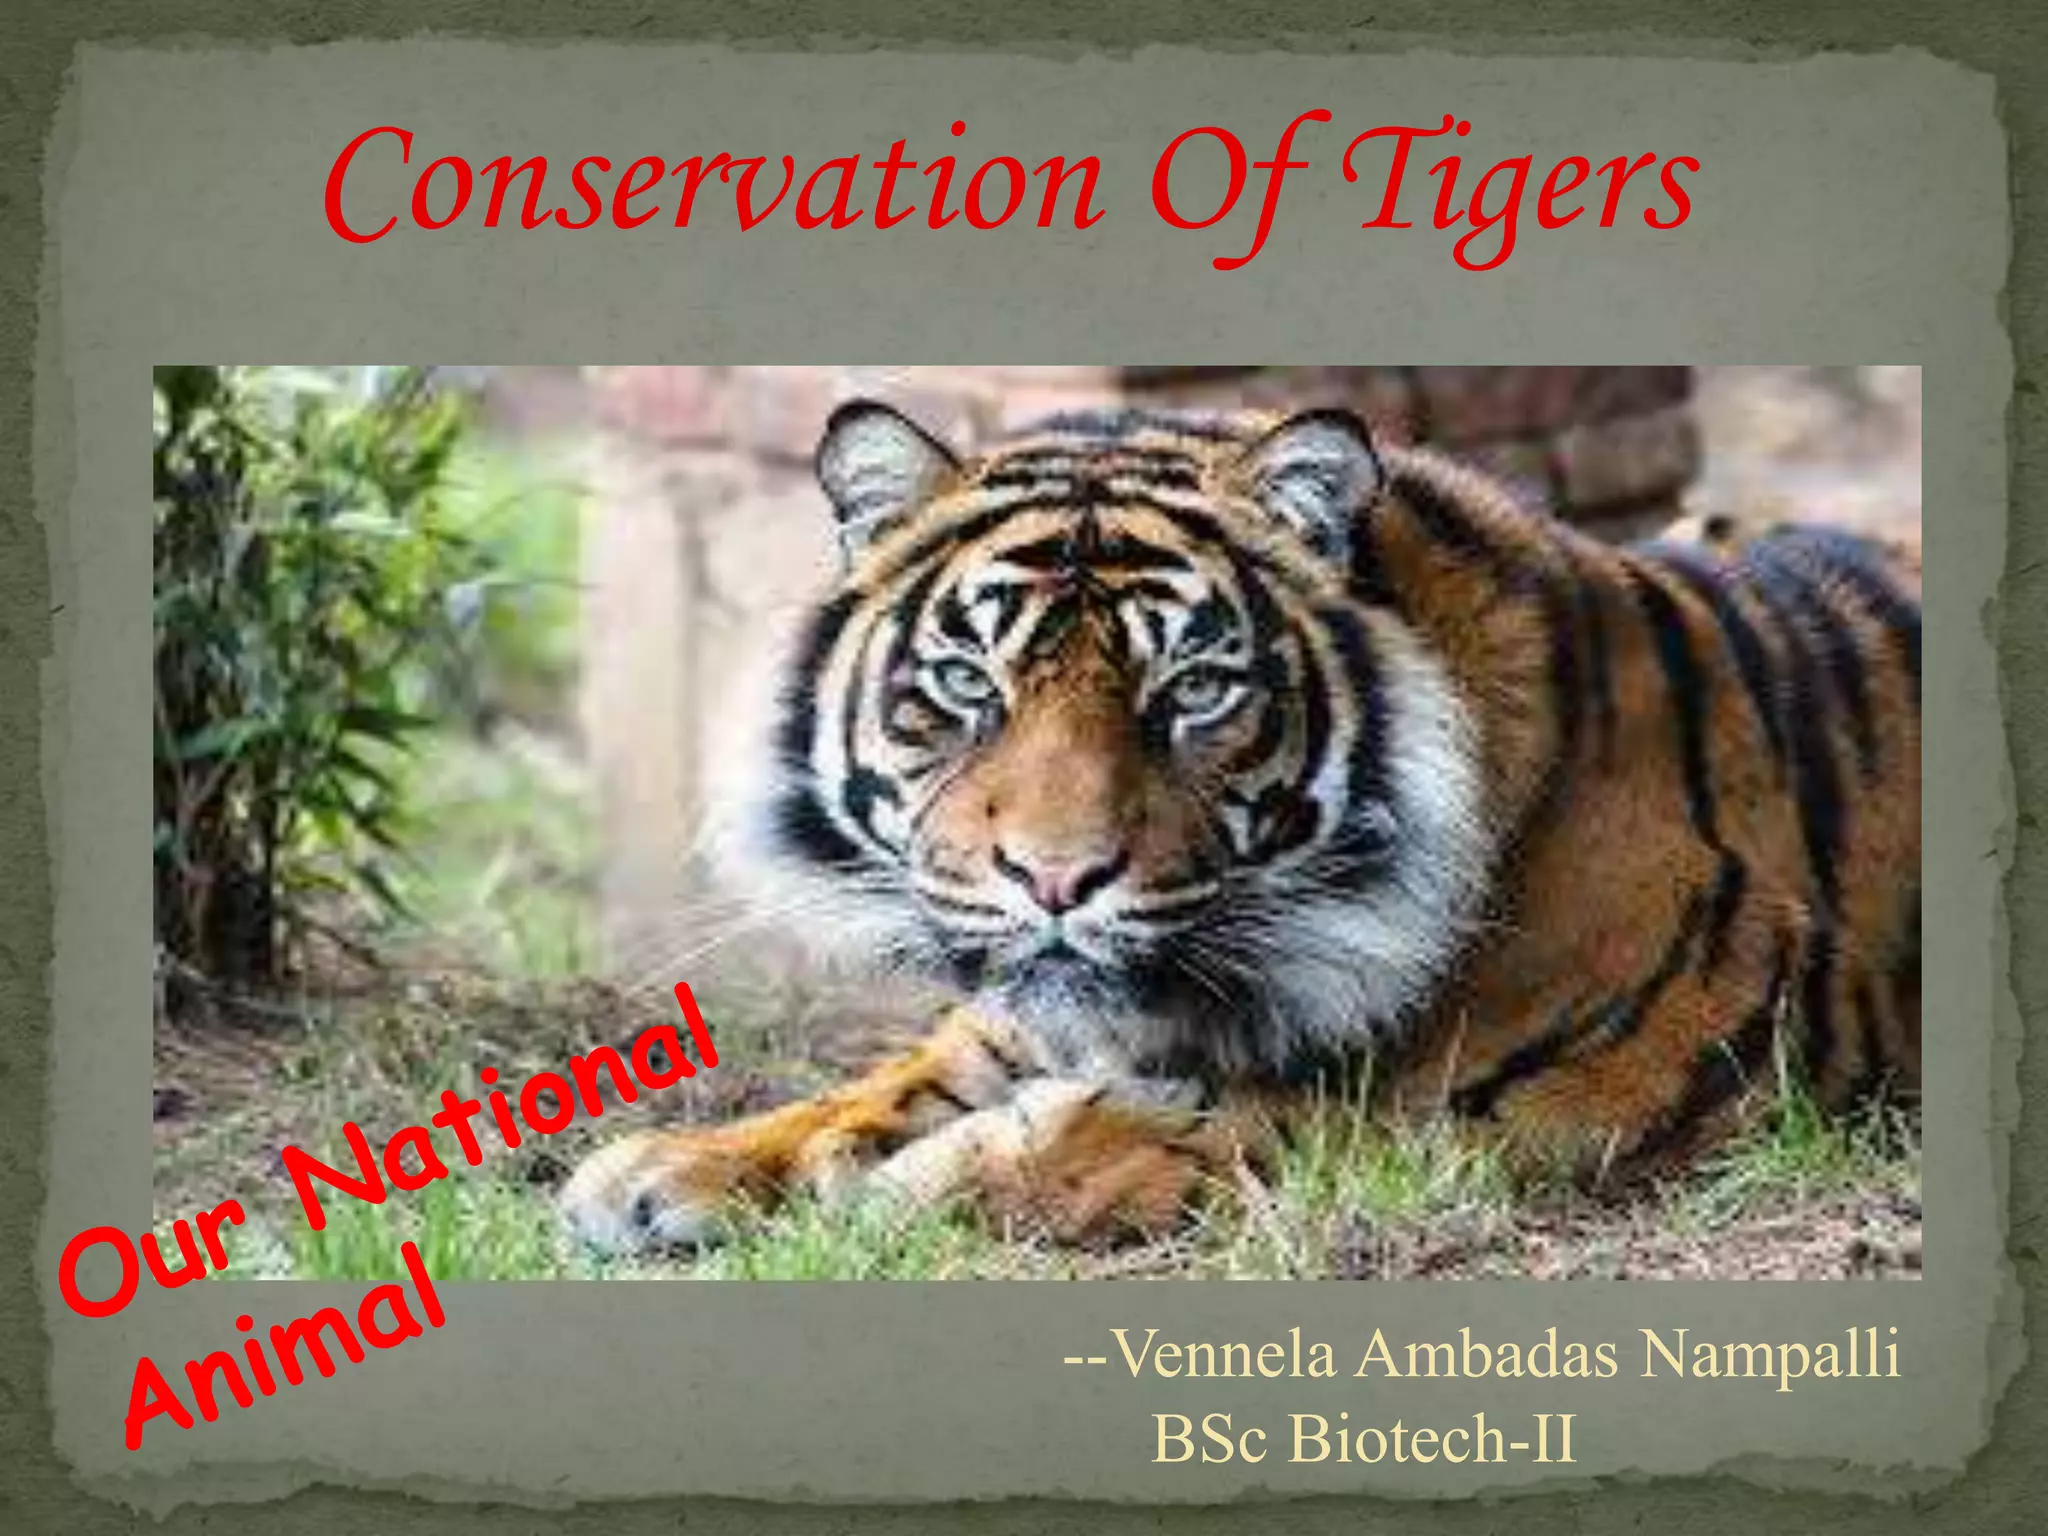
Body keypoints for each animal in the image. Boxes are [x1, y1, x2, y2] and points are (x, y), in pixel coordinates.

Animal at [557, 399, 1922, 1256]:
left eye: (1194, 690)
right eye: (964, 683)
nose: (1055, 880)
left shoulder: (1598, 1077)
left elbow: (1229, 1120)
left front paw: (928, 1185)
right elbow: (893, 1083)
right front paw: (673, 1166)